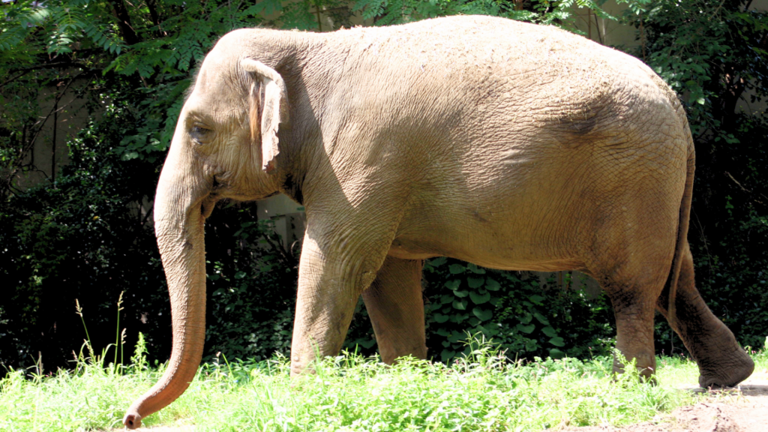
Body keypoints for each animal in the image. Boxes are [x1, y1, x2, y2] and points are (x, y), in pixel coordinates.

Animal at [123, 15, 755, 428]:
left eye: (197, 128)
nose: (130, 418)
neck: (305, 45)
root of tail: (675, 100)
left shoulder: (362, 155)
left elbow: (339, 260)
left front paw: (301, 399)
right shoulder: (374, 171)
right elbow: (386, 275)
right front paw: (407, 378)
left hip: (631, 182)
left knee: (631, 287)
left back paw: (627, 389)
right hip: (656, 188)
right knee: (679, 280)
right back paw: (726, 377)